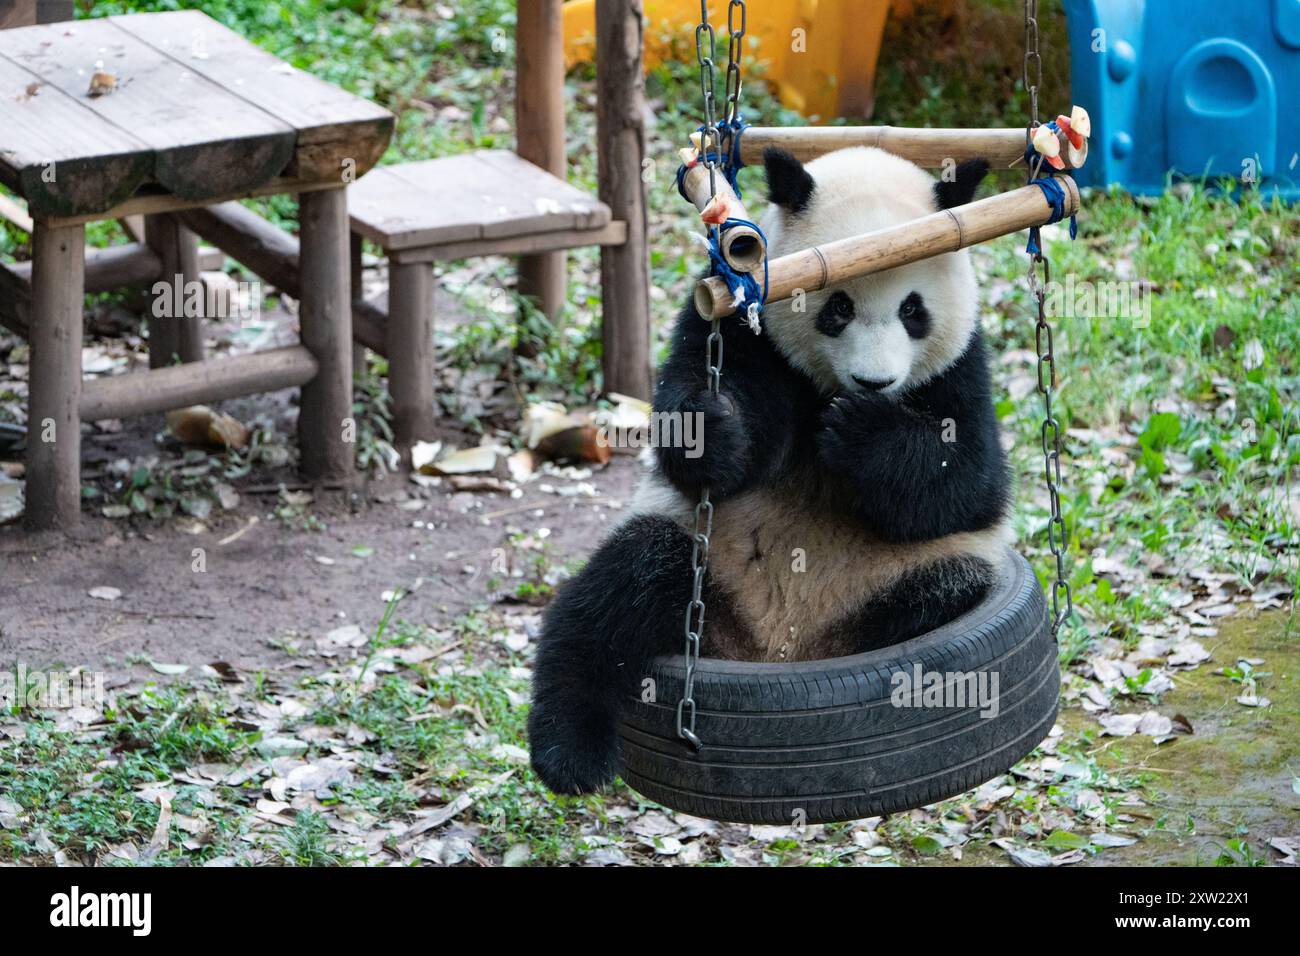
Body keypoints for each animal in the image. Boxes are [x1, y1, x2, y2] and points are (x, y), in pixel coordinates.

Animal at [528, 146, 1013, 795]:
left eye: (914, 310)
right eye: (838, 308)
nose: (875, 383)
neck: (825, 387)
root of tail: (783, 656)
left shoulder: (962, 366)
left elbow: (970, 483)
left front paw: (859, 432)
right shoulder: (740, 325)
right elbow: (695, 435)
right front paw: (716, 429)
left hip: (899, 579)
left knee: (945, 594)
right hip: (710, 569)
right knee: (617, 594)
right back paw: (570, 752)